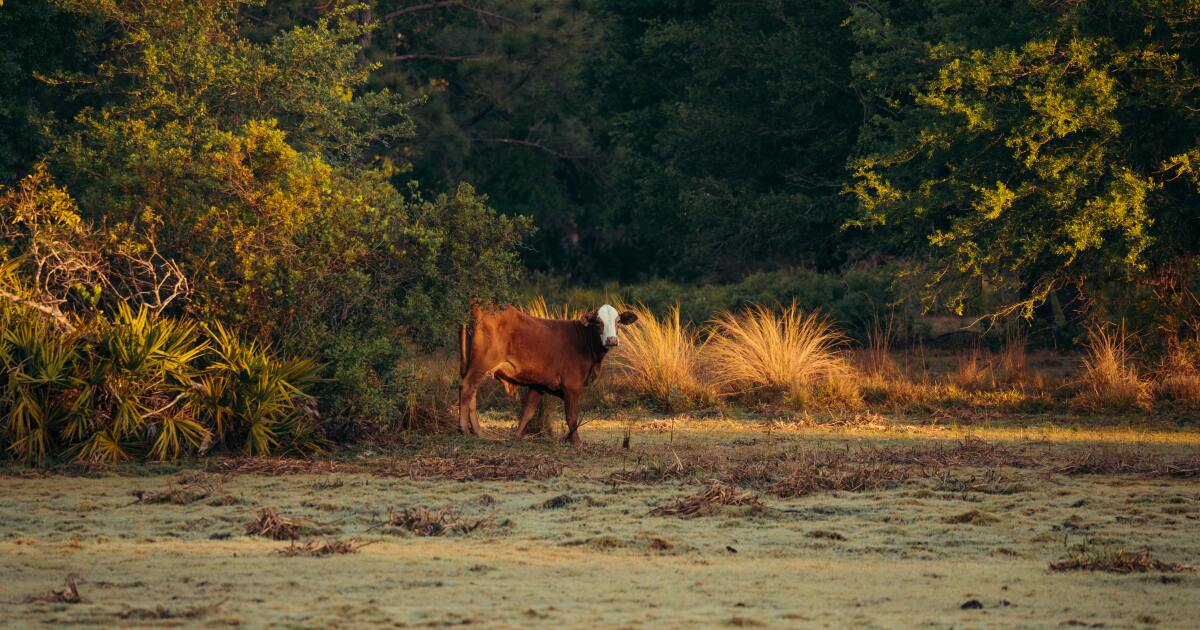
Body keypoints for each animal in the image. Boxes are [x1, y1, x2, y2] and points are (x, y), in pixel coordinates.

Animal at [458, 302, 638, 446]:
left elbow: (528, 412)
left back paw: (478, 431)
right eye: (598, 322)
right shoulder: (572, 386)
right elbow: (571, 416)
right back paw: (464, 430)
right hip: (481, 363)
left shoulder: (539, 384)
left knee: (472, 393)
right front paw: (576, 443)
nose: (612, 340)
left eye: (618, 321)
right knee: (467, 387)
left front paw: (517, 437)